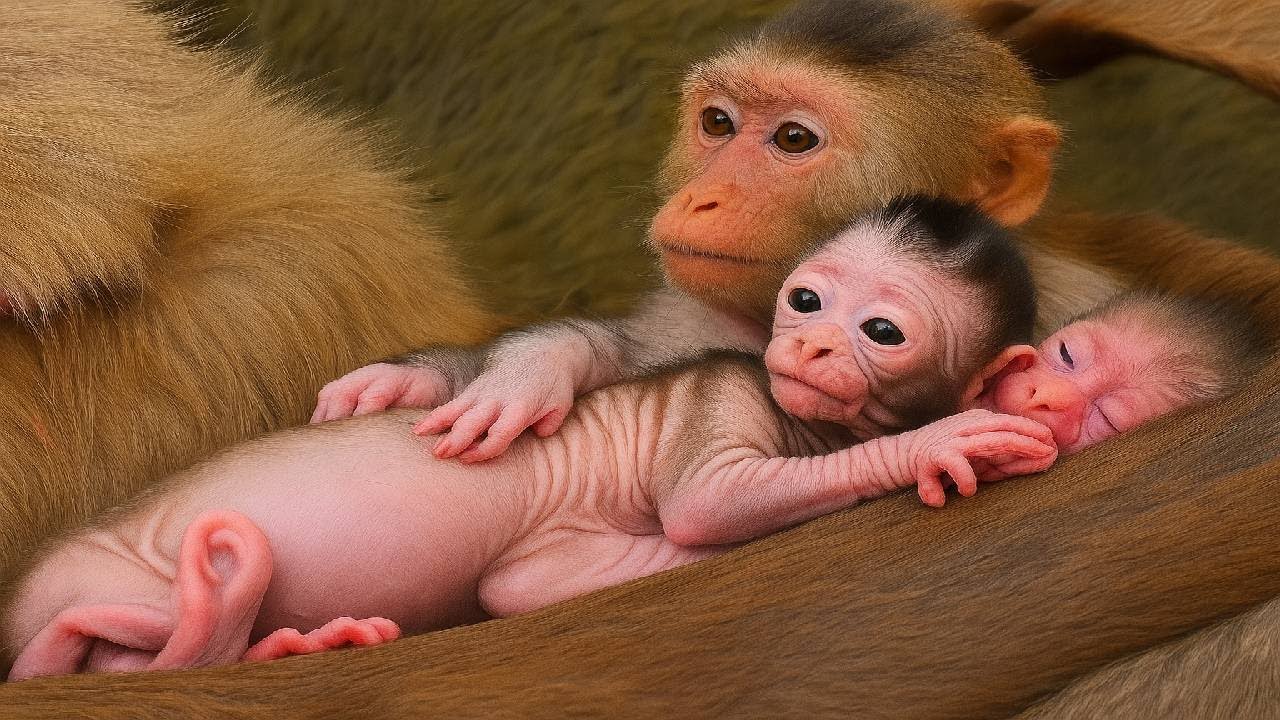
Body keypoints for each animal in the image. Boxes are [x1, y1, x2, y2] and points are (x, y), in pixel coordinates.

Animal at [4, 197, 1057, 679]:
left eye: (882, 330)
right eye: (805, 298)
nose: (812, 343)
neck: (800, 411)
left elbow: (523, 584)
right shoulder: (725, 391)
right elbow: (705, 503)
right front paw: (938, 444)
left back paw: (296, 643)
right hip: (114, 578)